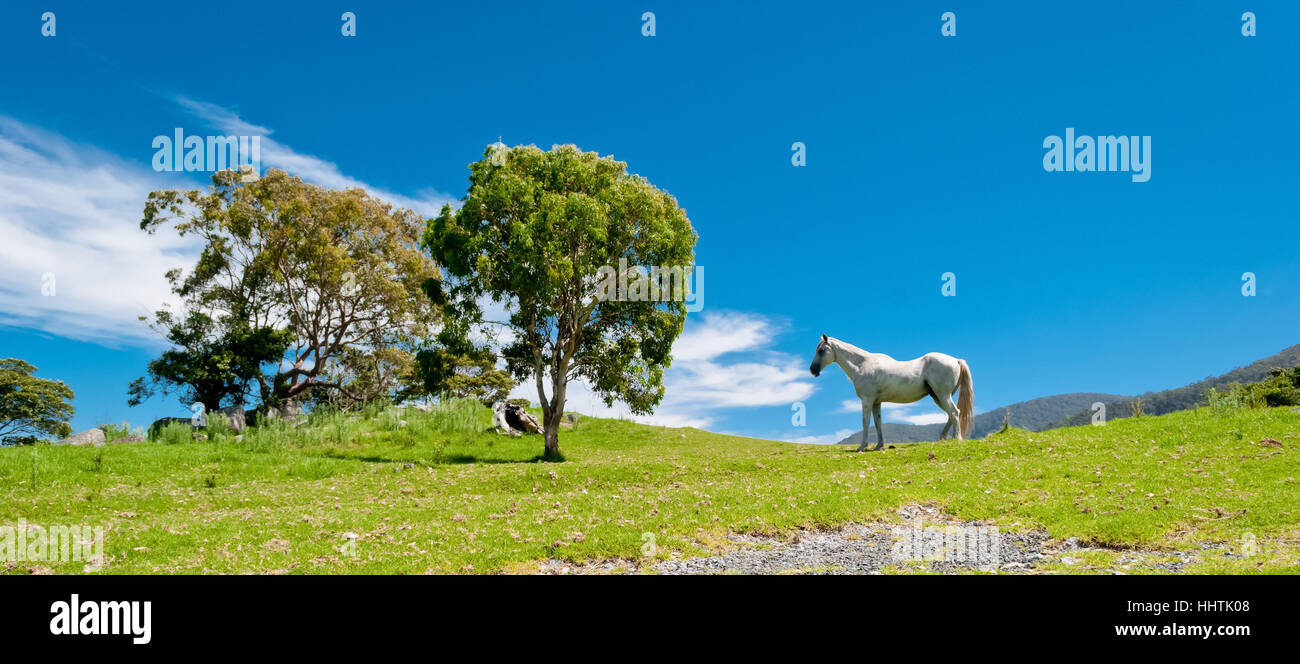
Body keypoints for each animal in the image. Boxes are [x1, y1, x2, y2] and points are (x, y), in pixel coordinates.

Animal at [808, 335, 973, 451]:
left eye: (821, 351)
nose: (812, 370)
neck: (862, 365)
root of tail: (956, 360)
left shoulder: (867, 401)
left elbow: (865, 422)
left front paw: (862, 446)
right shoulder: (876, 403)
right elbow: (878, 423)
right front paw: (879, 446)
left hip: (943, 395)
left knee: (955, 412)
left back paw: (957, 438)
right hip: (938, 396)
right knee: (951, 414)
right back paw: (944, 438)